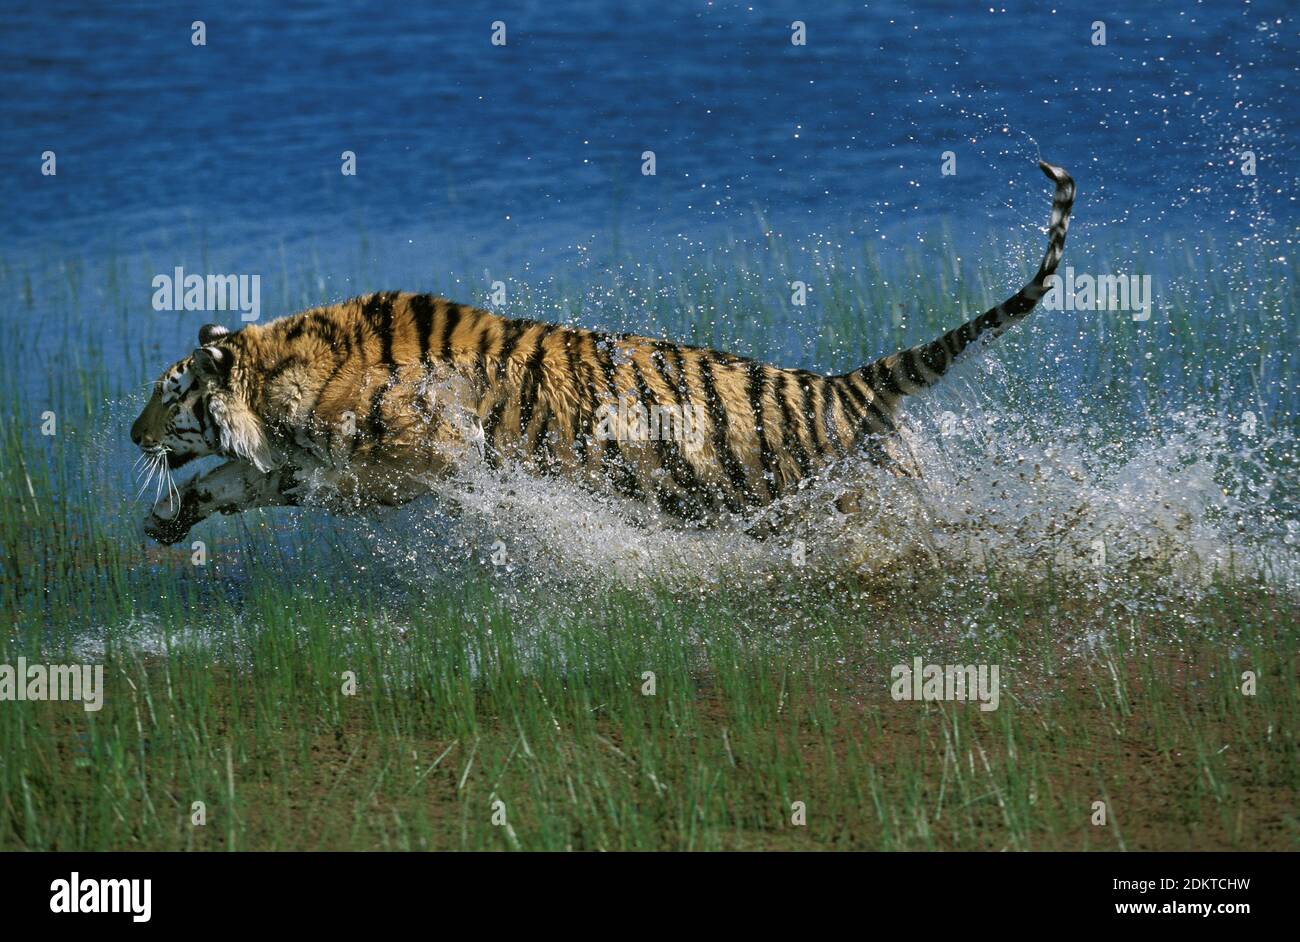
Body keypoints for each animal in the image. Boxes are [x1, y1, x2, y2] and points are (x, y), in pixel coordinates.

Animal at [131, 161, 1074, 546]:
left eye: (168, 395)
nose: (129, 436)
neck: (283, 383)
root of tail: (850, 385)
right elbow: (232, 482)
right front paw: (167, 518)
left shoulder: (412, 460)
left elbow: (315, 485)